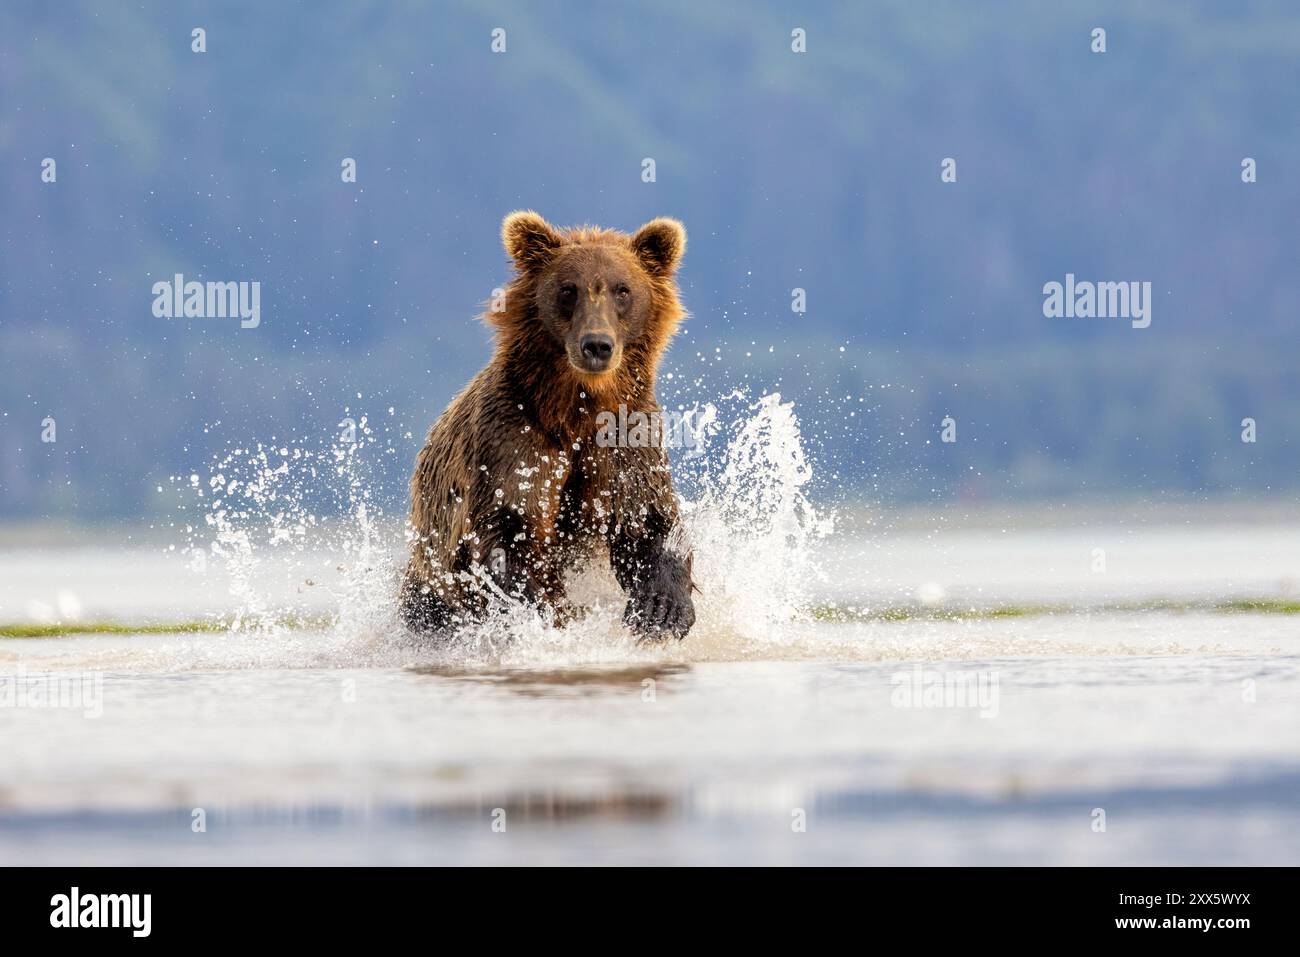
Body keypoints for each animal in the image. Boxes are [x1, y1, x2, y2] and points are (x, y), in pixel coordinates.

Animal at [399, 211, 696, 641]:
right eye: (568, 289)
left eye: (623, 290)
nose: (597, 344)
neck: (576, 408)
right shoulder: (514, 437)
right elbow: (513, 530)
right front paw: (559, 611)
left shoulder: (626, 435)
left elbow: (645, 519)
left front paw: (660, 609)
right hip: (429, 589)